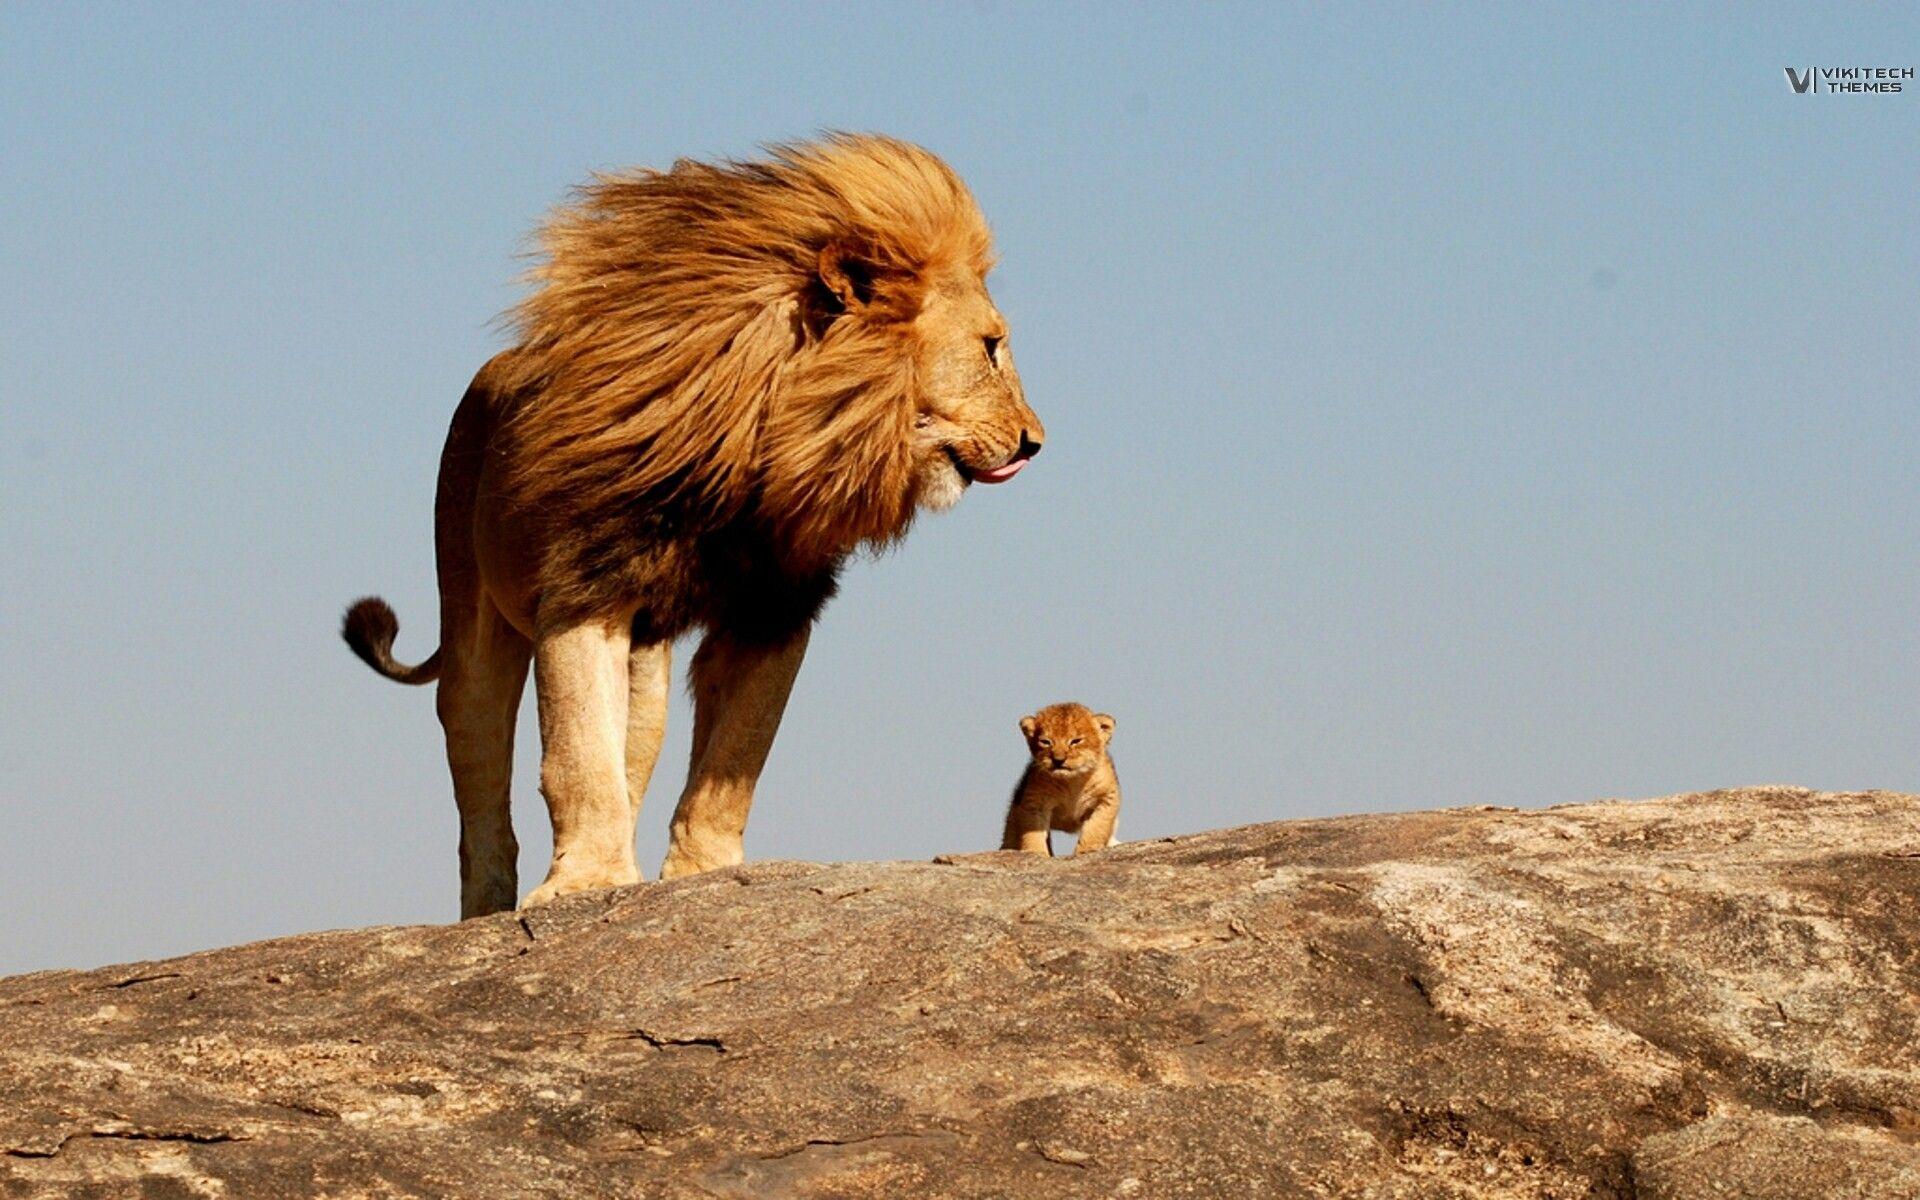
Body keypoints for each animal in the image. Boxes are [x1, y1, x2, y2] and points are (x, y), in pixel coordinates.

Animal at [342, 135, 1043, 916]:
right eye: (991, 347)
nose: (1034, 442)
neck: (760, 445)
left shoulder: (775, 608)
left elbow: (733, 760)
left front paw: (699, 874)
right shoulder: (583, 590)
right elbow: (577, 755)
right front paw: (585, 884)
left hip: (646, 670)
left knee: (633, 751)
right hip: (472, 621)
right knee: (480, 770)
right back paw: (490, 907)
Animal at [1001, 703, 1120, 856]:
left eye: (1075, 741)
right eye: (1045, 742)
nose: (1058, 760)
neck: (1072, 781)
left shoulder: (1106, 798)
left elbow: (1097, 827)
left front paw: (1087, 849)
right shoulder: (1035, 802)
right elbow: (1033, 832)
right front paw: (1036, 852)